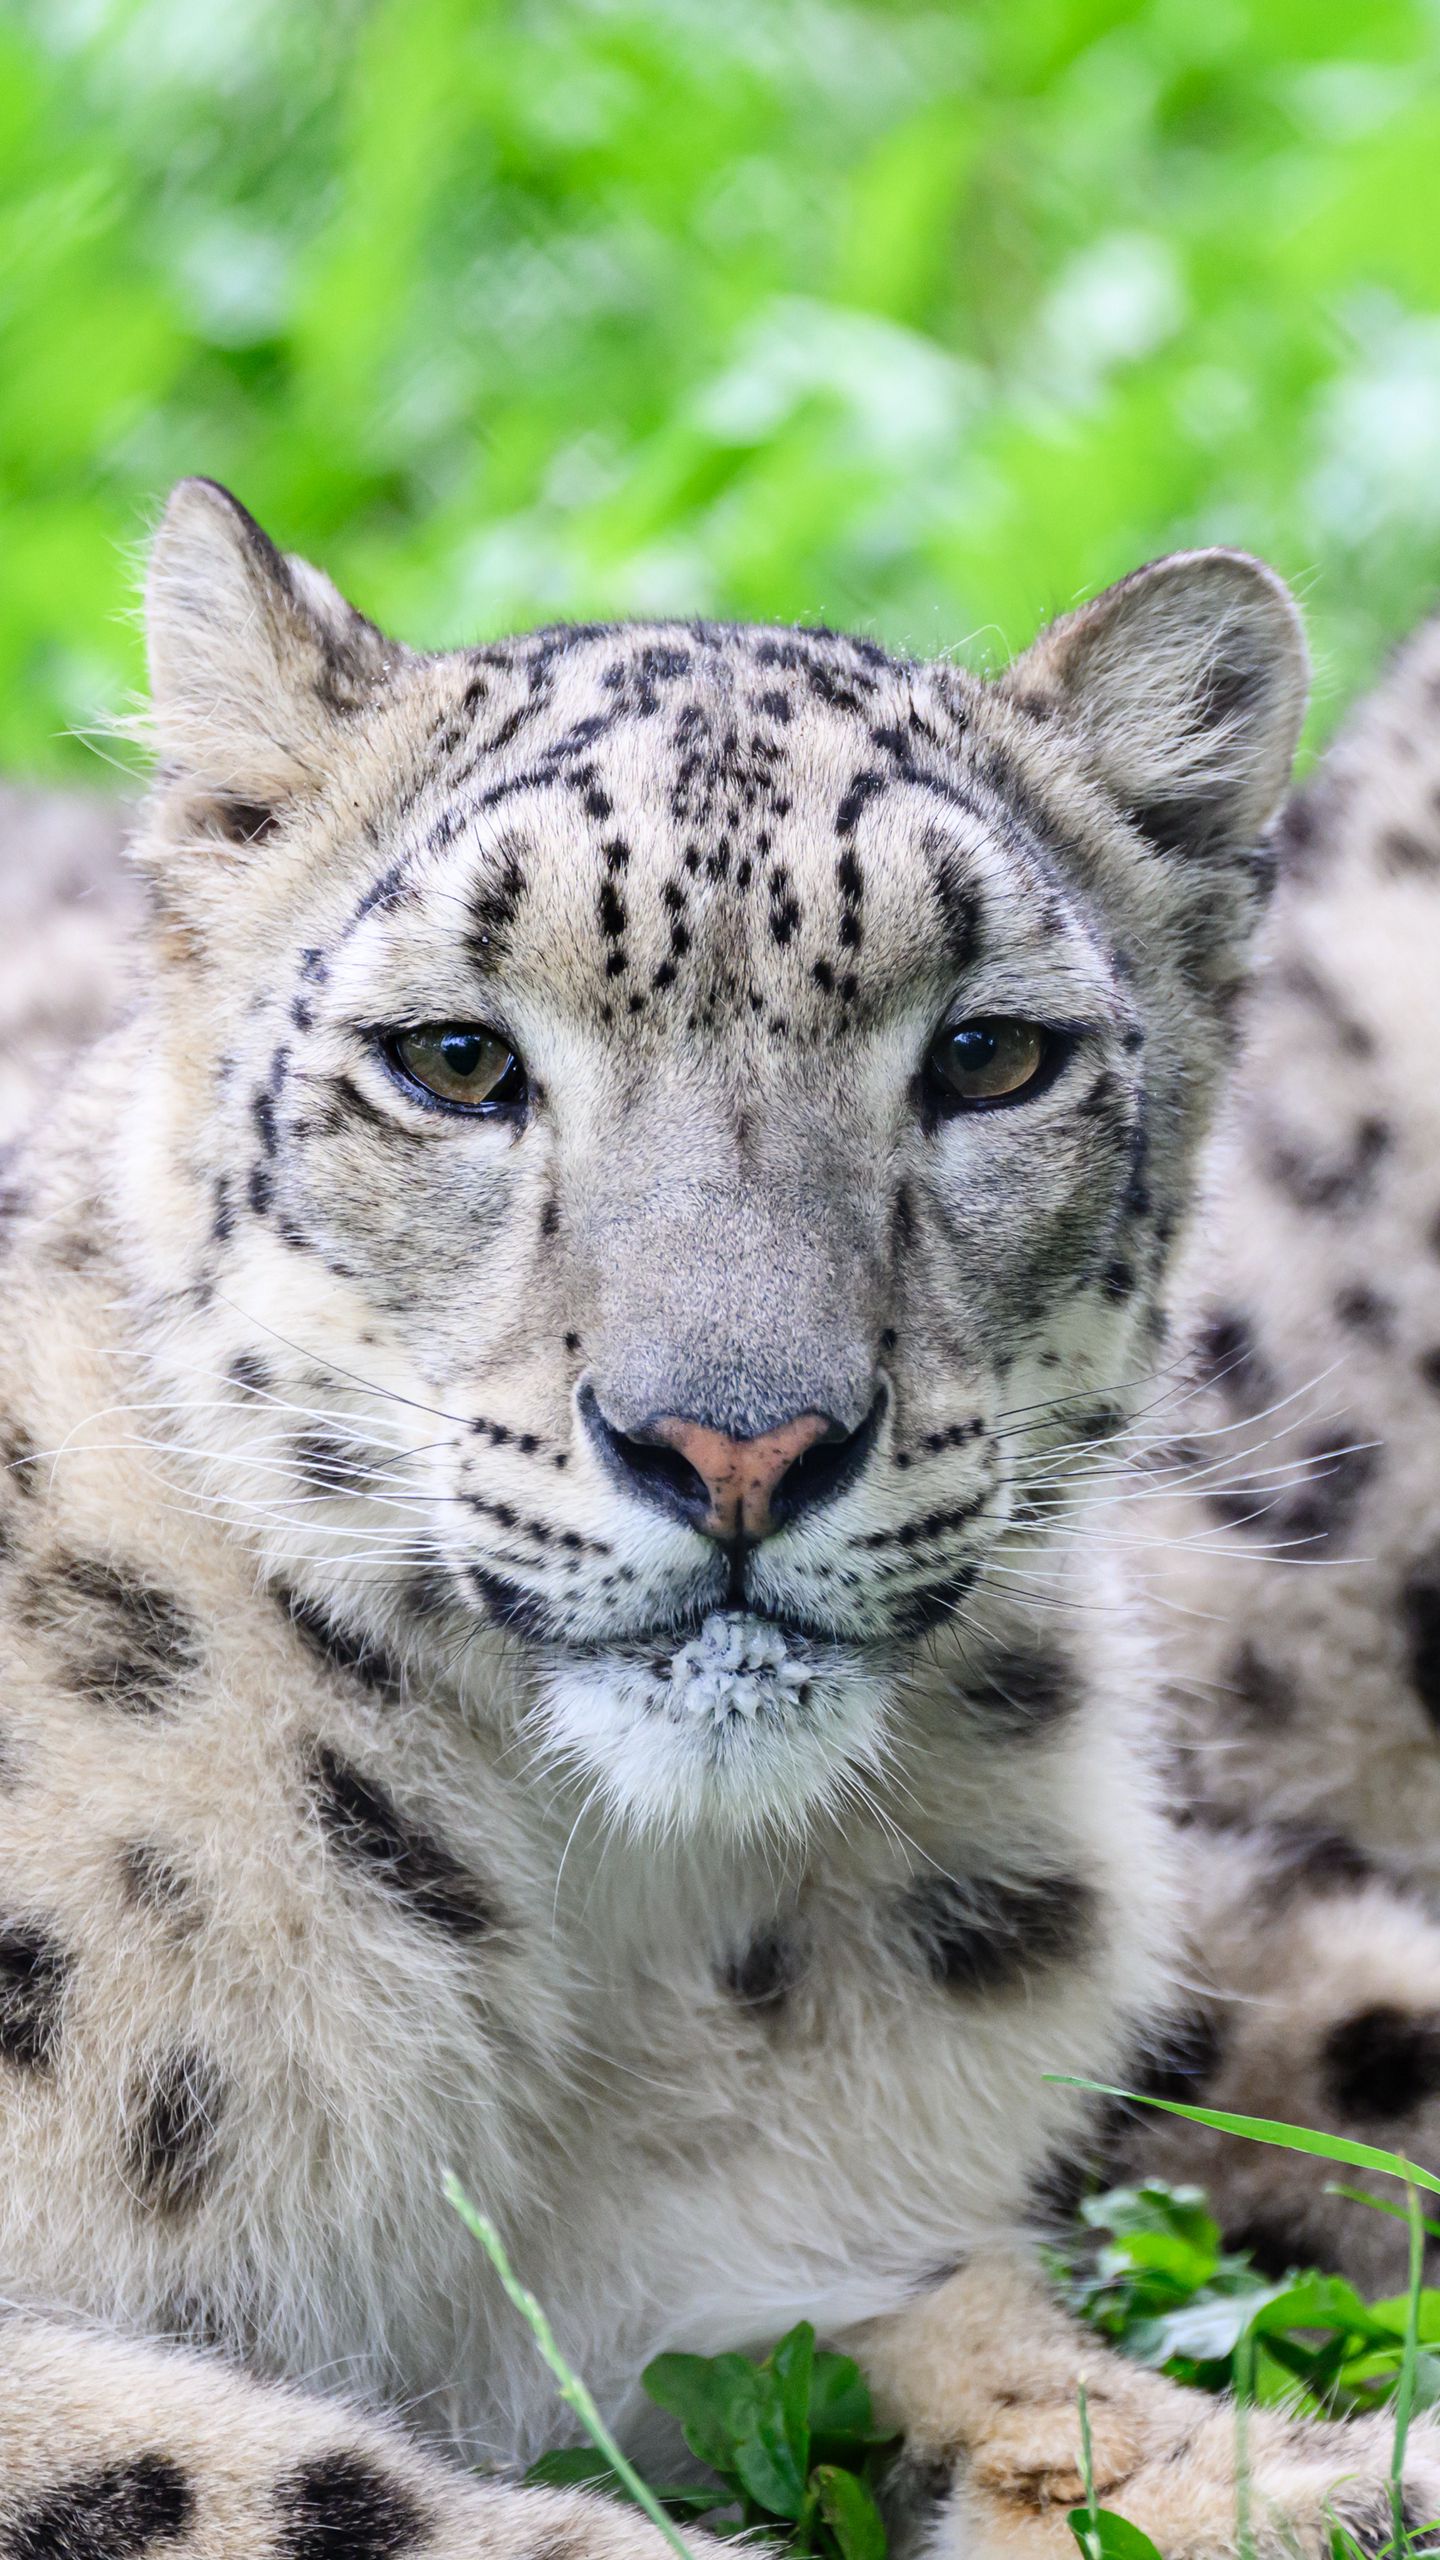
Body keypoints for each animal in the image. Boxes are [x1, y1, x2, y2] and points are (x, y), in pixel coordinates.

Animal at [0, 474, 1432, 2560]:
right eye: (455, 1060)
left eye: (991, 1053)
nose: (737, 1446)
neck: (601, 1949)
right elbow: (285, 2483)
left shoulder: (770, 2267)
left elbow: (1010, 2352)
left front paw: (1303, 2487)